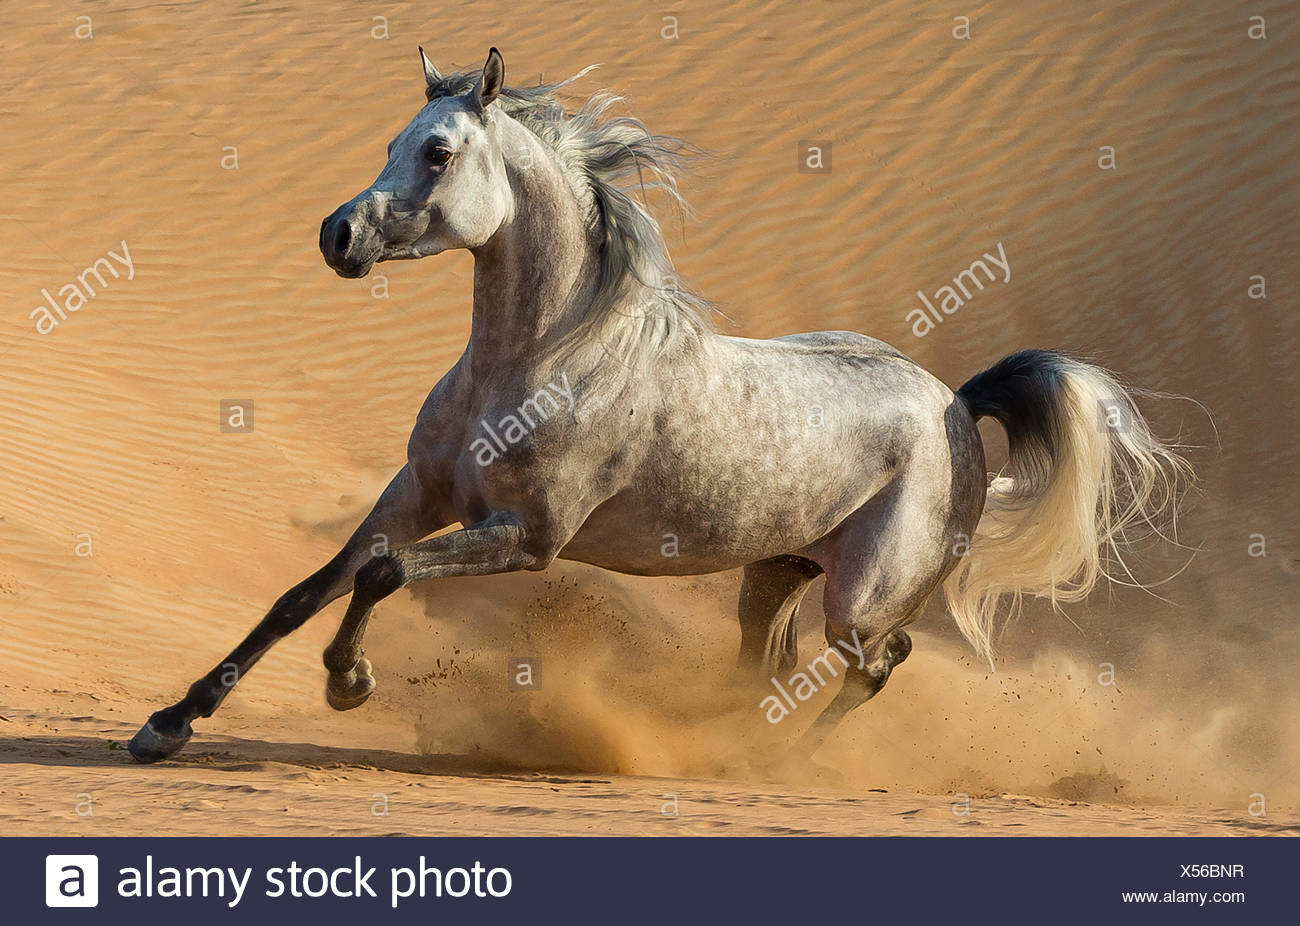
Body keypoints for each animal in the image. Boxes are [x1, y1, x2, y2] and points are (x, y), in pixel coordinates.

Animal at [129, 47, 1191, 764]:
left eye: (435, 152)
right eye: (390, 142)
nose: (337, 235)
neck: (538, 361)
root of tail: (955, 407)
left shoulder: (528, 535)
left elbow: (385, 575)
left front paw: (349, 683)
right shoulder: (417, 494)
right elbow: (311, 588)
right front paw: (169, 723)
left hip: (863, 594)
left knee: (873, 663)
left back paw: (779, 764)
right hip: (776, 572)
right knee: (765, 666)